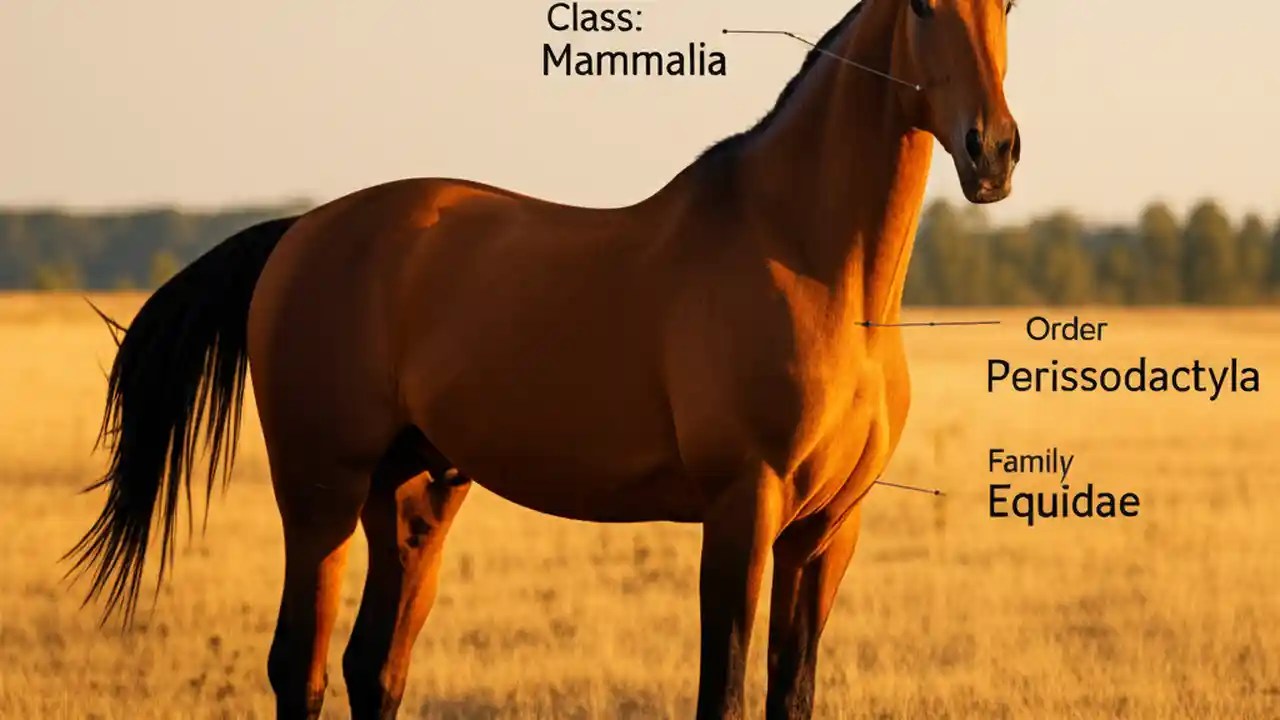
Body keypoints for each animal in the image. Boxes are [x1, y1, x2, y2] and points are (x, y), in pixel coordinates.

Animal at [69, 1, 1021, 717]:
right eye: (924, 4)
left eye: (1007, 3)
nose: (993, 152)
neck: (808, 263)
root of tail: (302, 230)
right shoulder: (742, 508)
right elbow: (724, 694)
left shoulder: (828, 530)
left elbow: (793, 694)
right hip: (319, 495)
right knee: (297, 670)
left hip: (415, 496)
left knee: (372, 669)